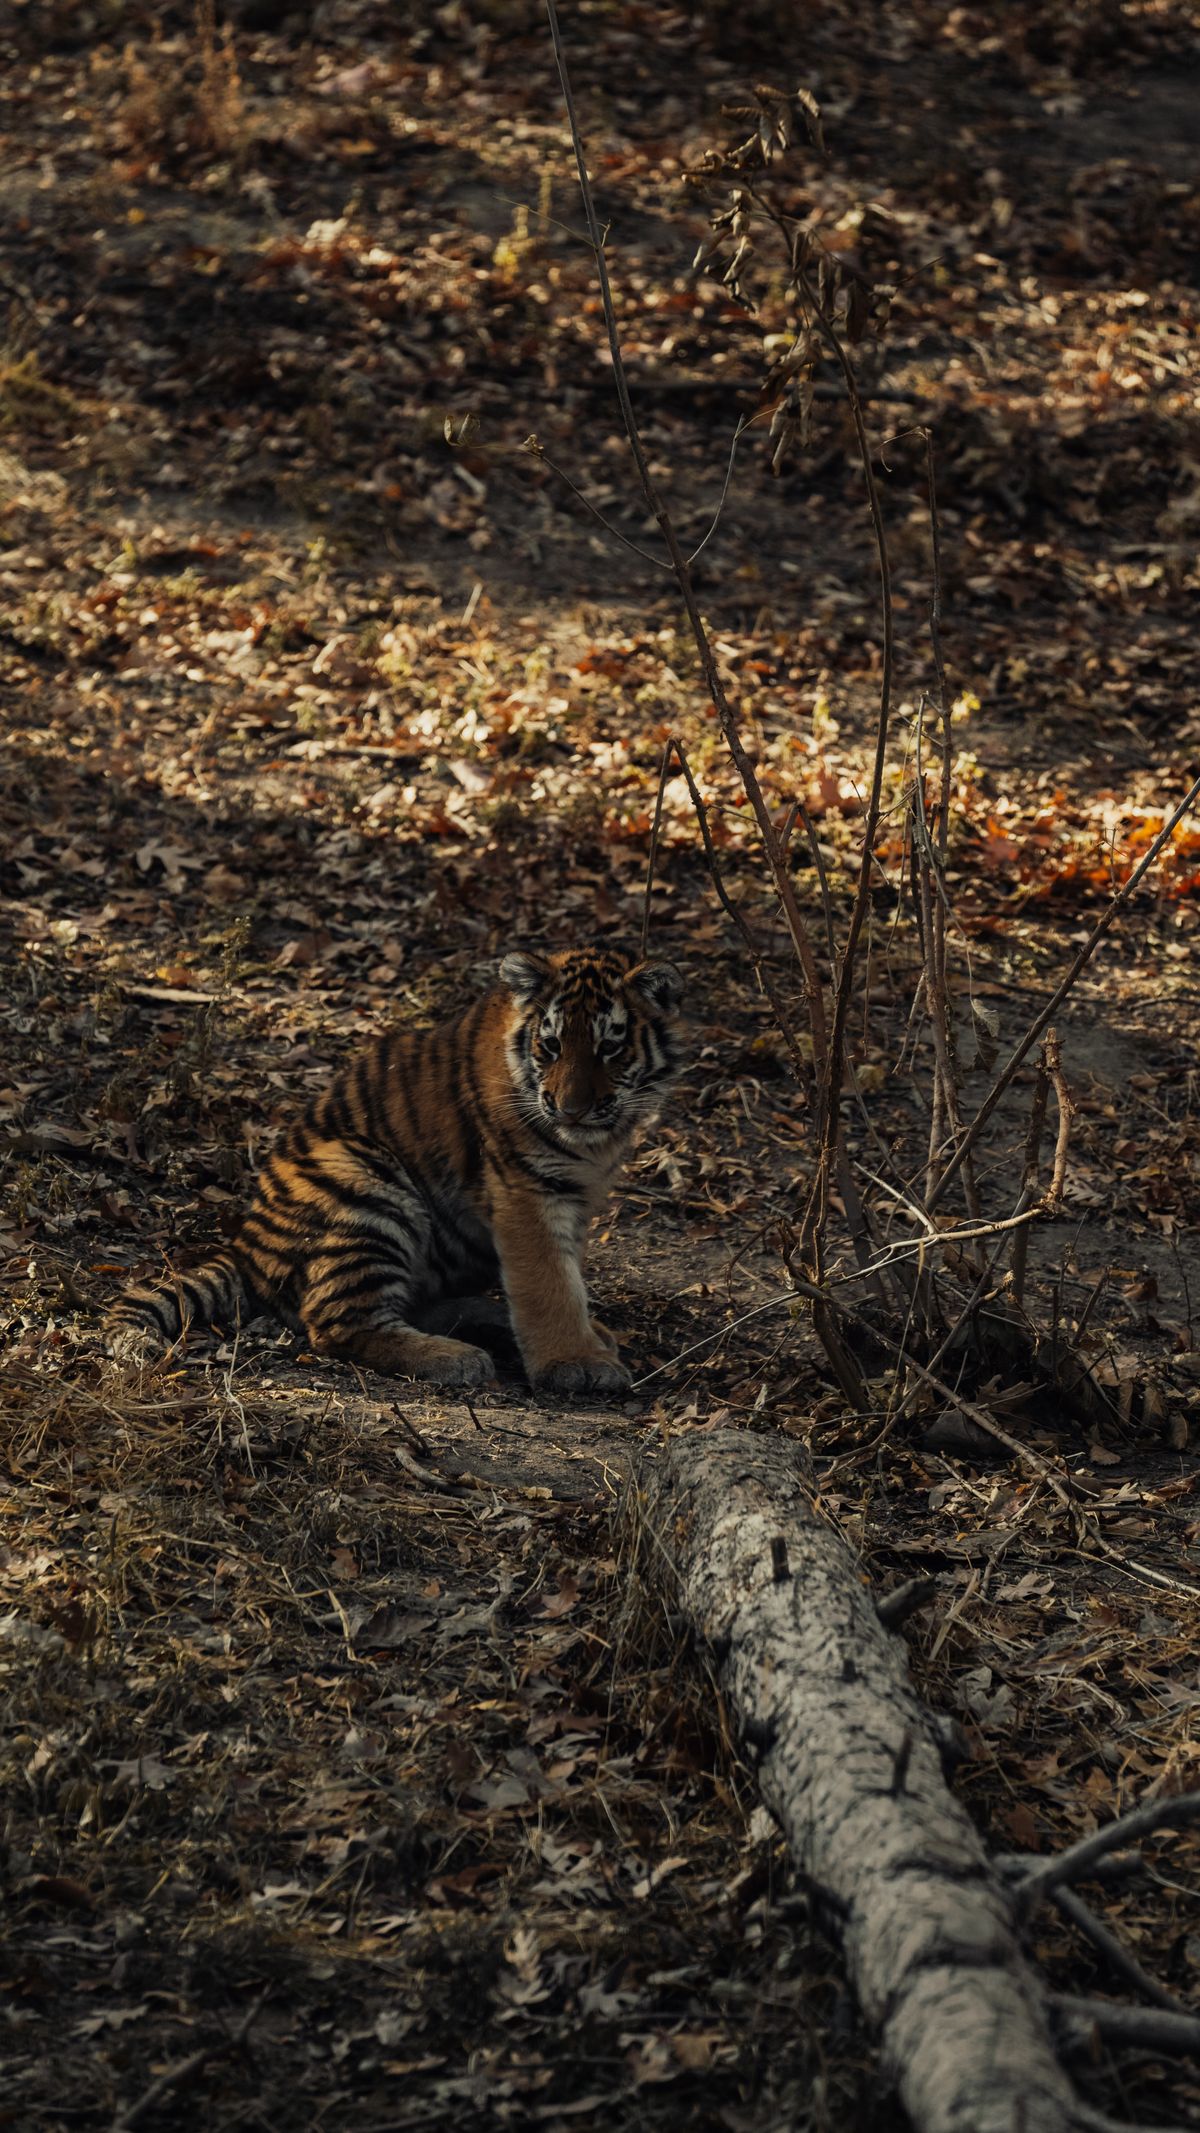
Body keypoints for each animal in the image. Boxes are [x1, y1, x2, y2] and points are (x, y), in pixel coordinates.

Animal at [106, 946, 682, 1397]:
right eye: (552, 1045)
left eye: (610, 1048)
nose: (571, 1110)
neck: (594, 1142)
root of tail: (243, 1250)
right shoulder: (527, 1189)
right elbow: (548, 1281)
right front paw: (575, 1363)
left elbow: (565, 1275)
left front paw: (585, 1341)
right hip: (364, 1180)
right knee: (338, 1322)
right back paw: (457, 1357)